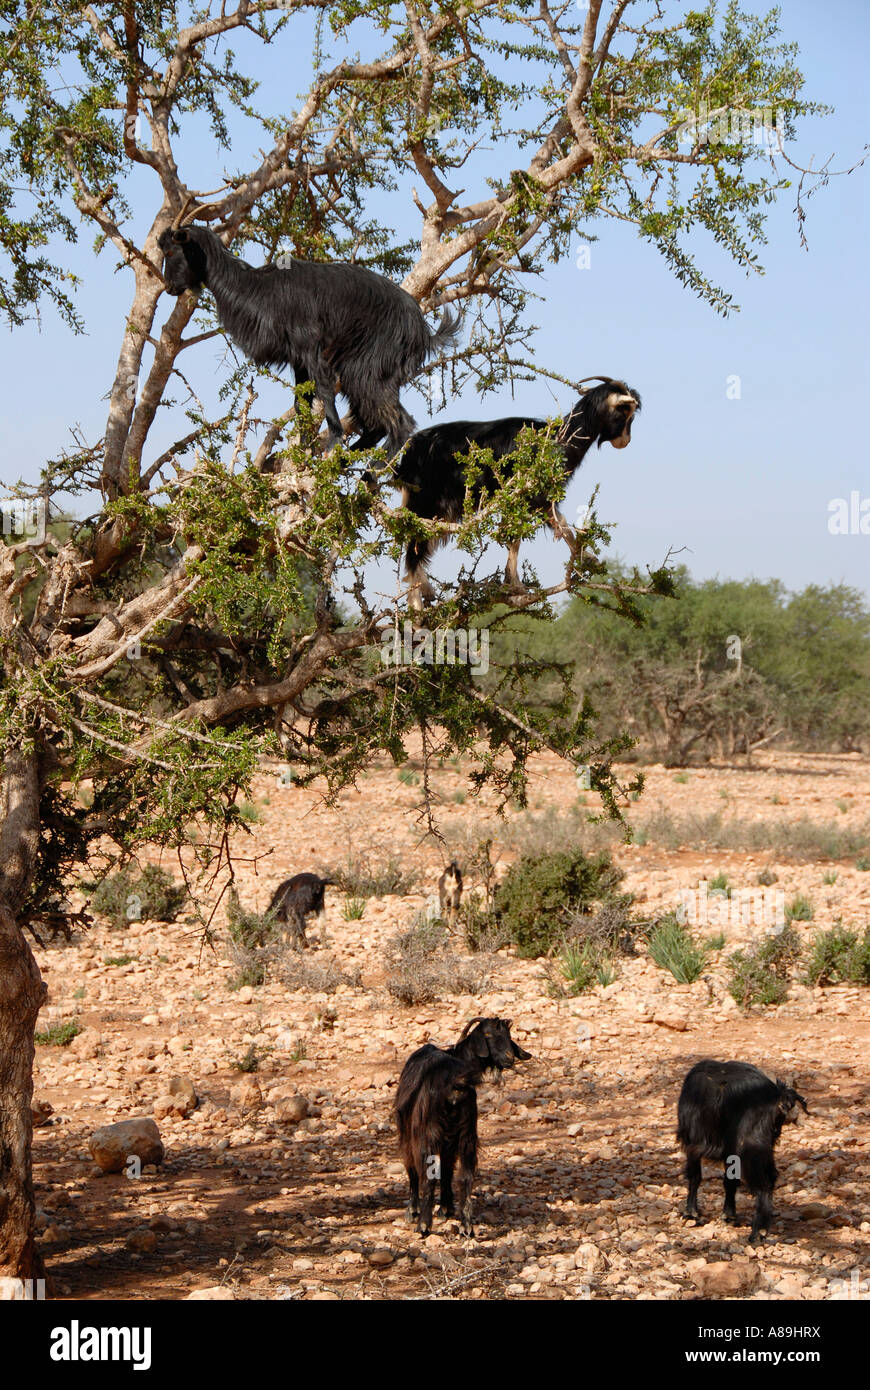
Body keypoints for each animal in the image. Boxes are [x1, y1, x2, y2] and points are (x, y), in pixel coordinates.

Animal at [158, 225, 460, 453]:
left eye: (172, 251)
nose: (169, 287)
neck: (255, 288)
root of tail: (422, 331)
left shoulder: (311, 347)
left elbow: (324, 392)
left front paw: (332, 441)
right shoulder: (298, 360)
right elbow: (301, 403)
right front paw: (304, 449)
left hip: (368, 367)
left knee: (399, 422)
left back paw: (368, 472)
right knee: (376, 425)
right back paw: (348, 462)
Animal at [393, 378, 640, 607]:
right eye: (624, 413)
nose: (625, 441)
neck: (557, 438)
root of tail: (408, 455)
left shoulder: (539, 499)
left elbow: (560, 527)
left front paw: (587, 559)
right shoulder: (527, 495)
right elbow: (518, 538)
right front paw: (516, 585)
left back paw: (426, 592)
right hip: (425, 500)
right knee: (413, 546)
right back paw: (417, 607)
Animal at [395, 1017, 531, 1237]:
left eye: (507, 1035)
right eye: (488, 1034)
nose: (509, 1057)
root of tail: (455, 1084)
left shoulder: (411, 1133)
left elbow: (418, 1169)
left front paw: (414, 1210)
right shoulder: (453, 1139)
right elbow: (448, 1170)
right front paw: (447, 1208)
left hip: (427, 1132)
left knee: (426, 1173)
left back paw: (423, 1224)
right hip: (467, 1134)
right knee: (465, 1175)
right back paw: (467, 1226)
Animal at [677, 1059, 808, 1243]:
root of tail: (777, 1095)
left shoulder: (694, 1143)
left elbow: (695, 1176)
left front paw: (691, 1214)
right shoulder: (729, 1150)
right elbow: (730, 1180)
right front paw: (729, 1215)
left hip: (750, 1148)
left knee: (763, 1185)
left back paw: (757, 1234)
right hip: (763, 1148)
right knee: (770, 1178)